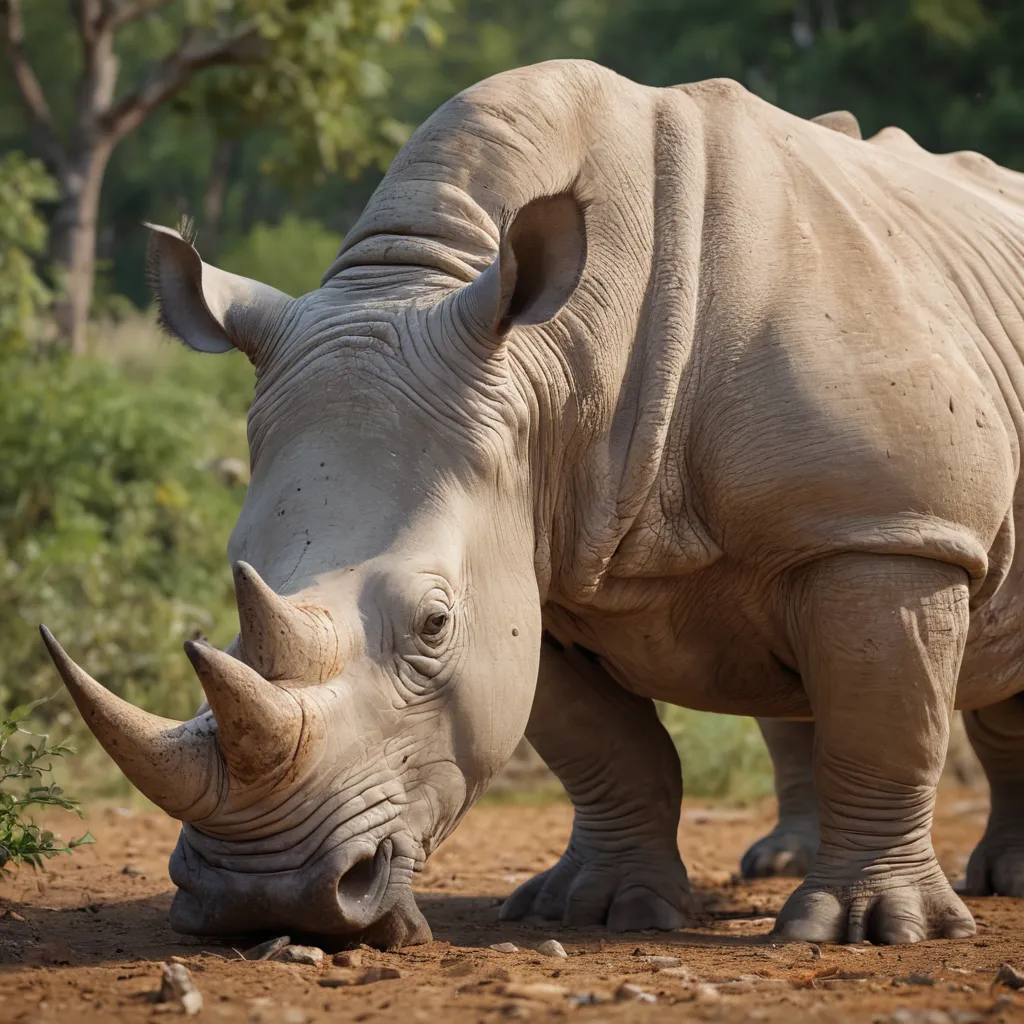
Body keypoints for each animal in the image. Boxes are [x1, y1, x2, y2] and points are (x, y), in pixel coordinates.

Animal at [41, 60, 1024, 947]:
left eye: (433, 624)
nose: (262, 898)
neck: (549, 363)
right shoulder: (528, 547)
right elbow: (604, 747)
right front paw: (592, 909)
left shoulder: (889, 526)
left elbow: (883, 727)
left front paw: (870, 930)